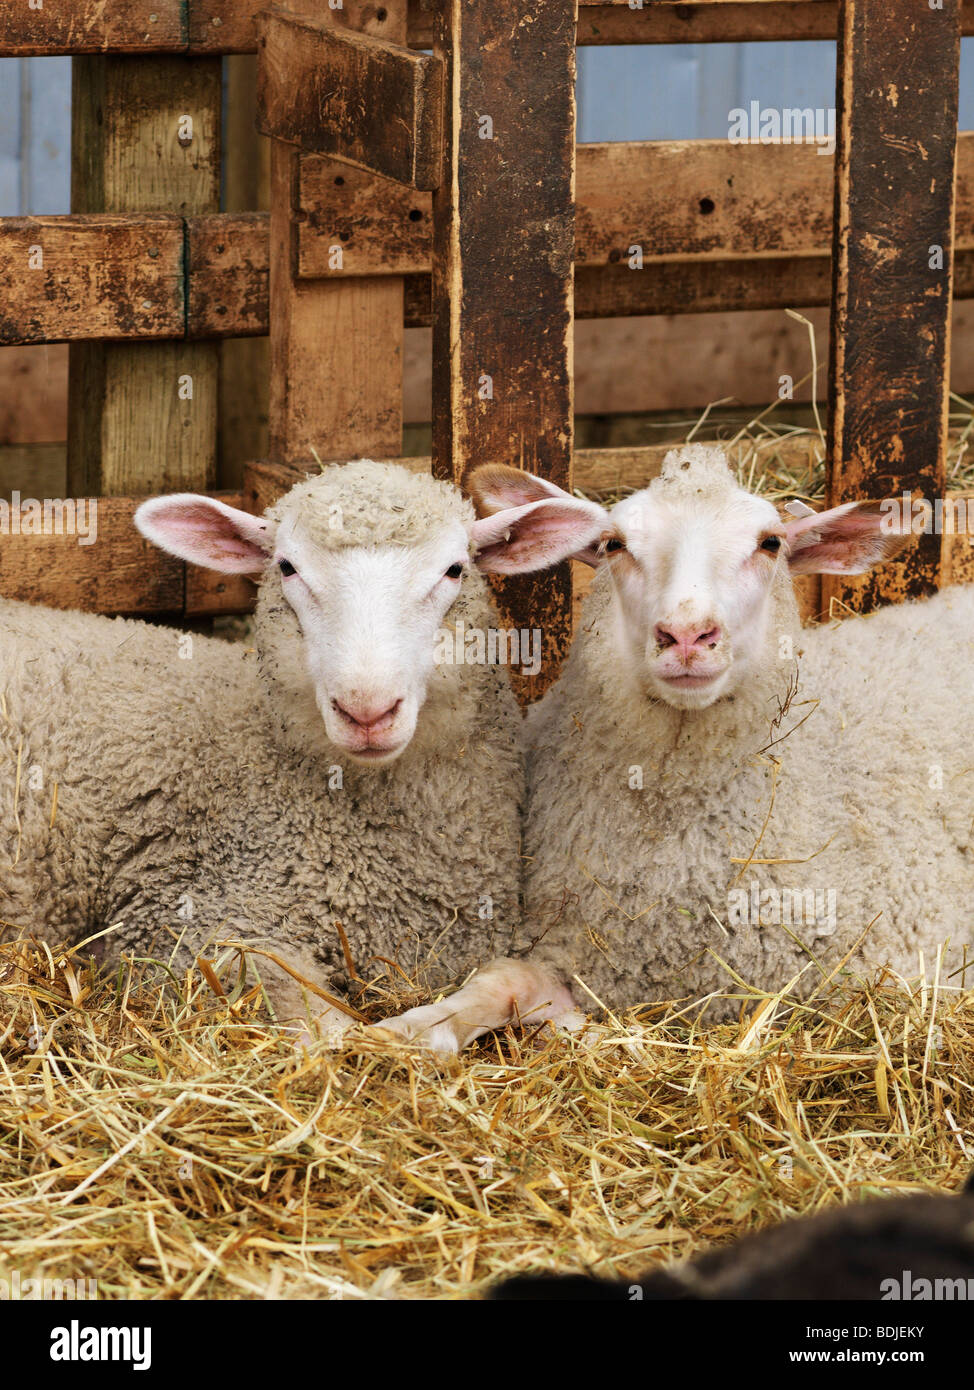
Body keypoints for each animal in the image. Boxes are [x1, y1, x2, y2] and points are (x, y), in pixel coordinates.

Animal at [384, 444, 974, 1042]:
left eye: (771, 543)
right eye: (614, 544)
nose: (687, 636)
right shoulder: (569, 948)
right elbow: (495, 983)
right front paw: (404, 1031)